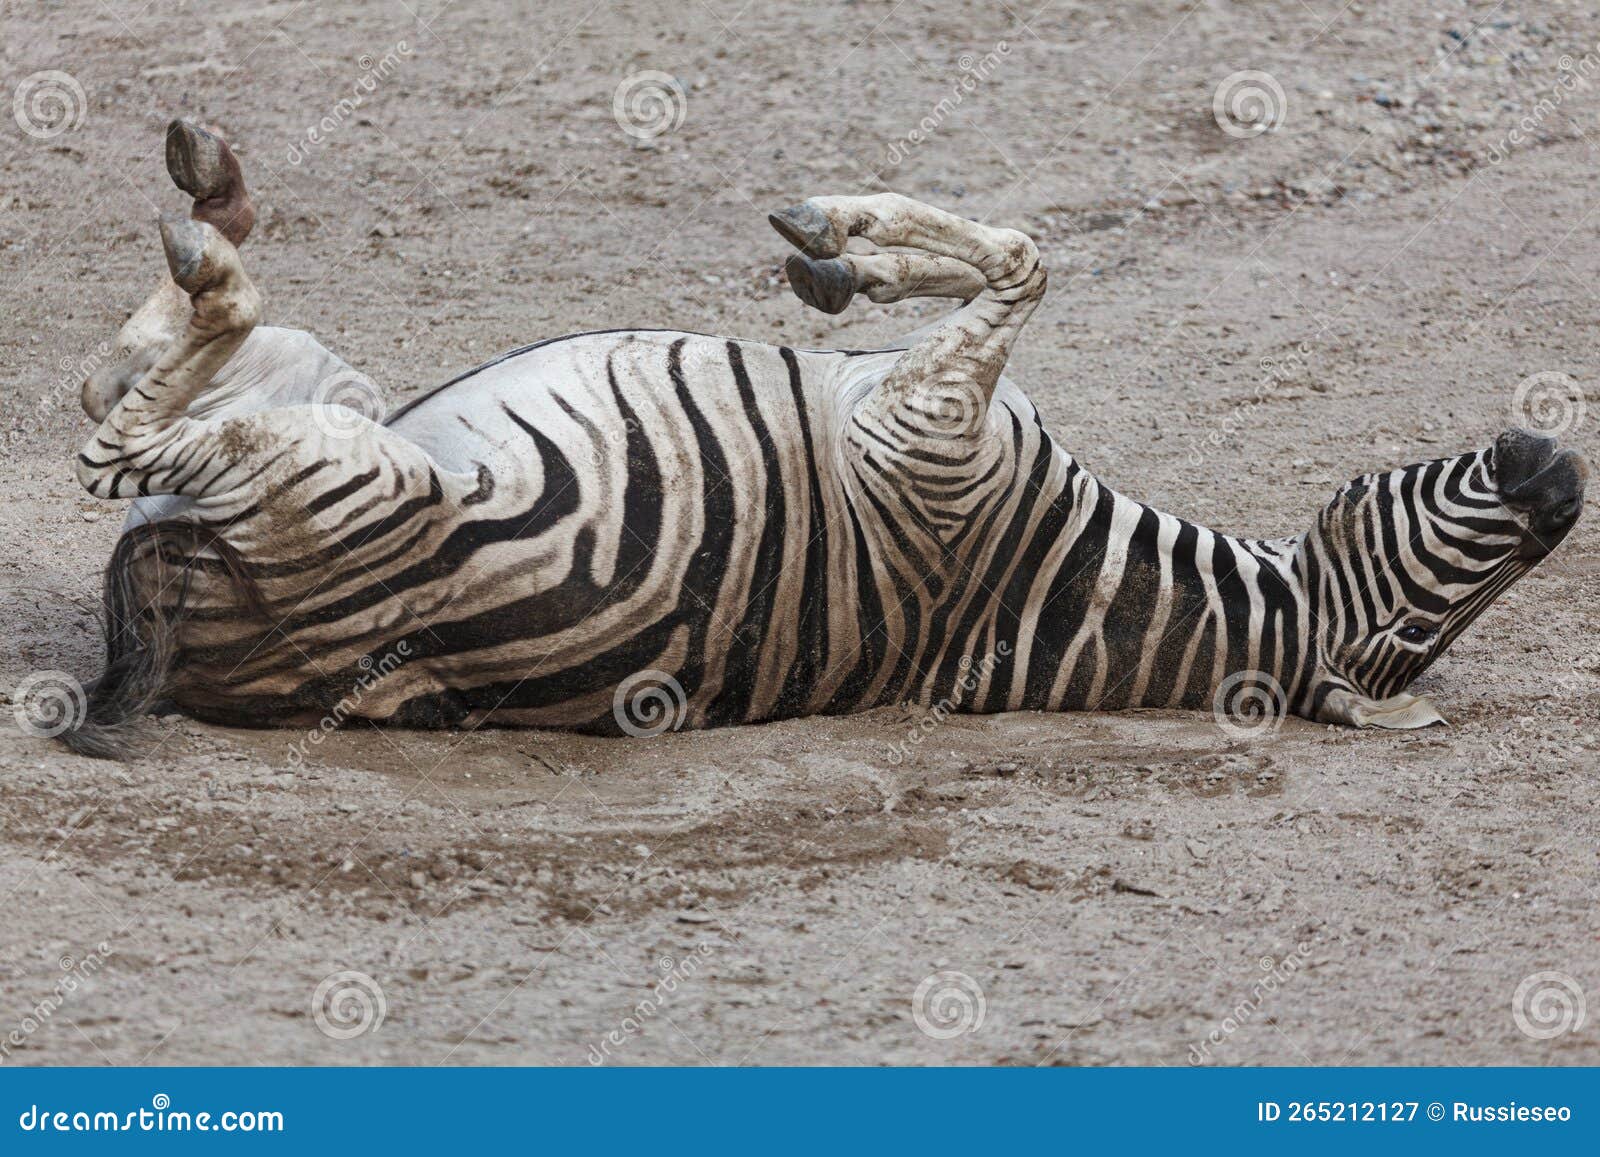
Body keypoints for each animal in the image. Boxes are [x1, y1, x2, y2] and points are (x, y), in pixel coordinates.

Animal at [59, 119, 1586, 757]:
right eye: (1457, 593)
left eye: (1427, 618)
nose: (1564, 477)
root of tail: (190, 634)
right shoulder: (920, 410)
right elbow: (1011, 255)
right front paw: (843, 247)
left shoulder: (928, 426)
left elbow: (1025, 258)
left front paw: (844, 238)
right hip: (345, 398)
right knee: (111, 390)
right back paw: (216, 195)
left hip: (362, 470)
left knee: (118, 434)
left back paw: (212, 251)